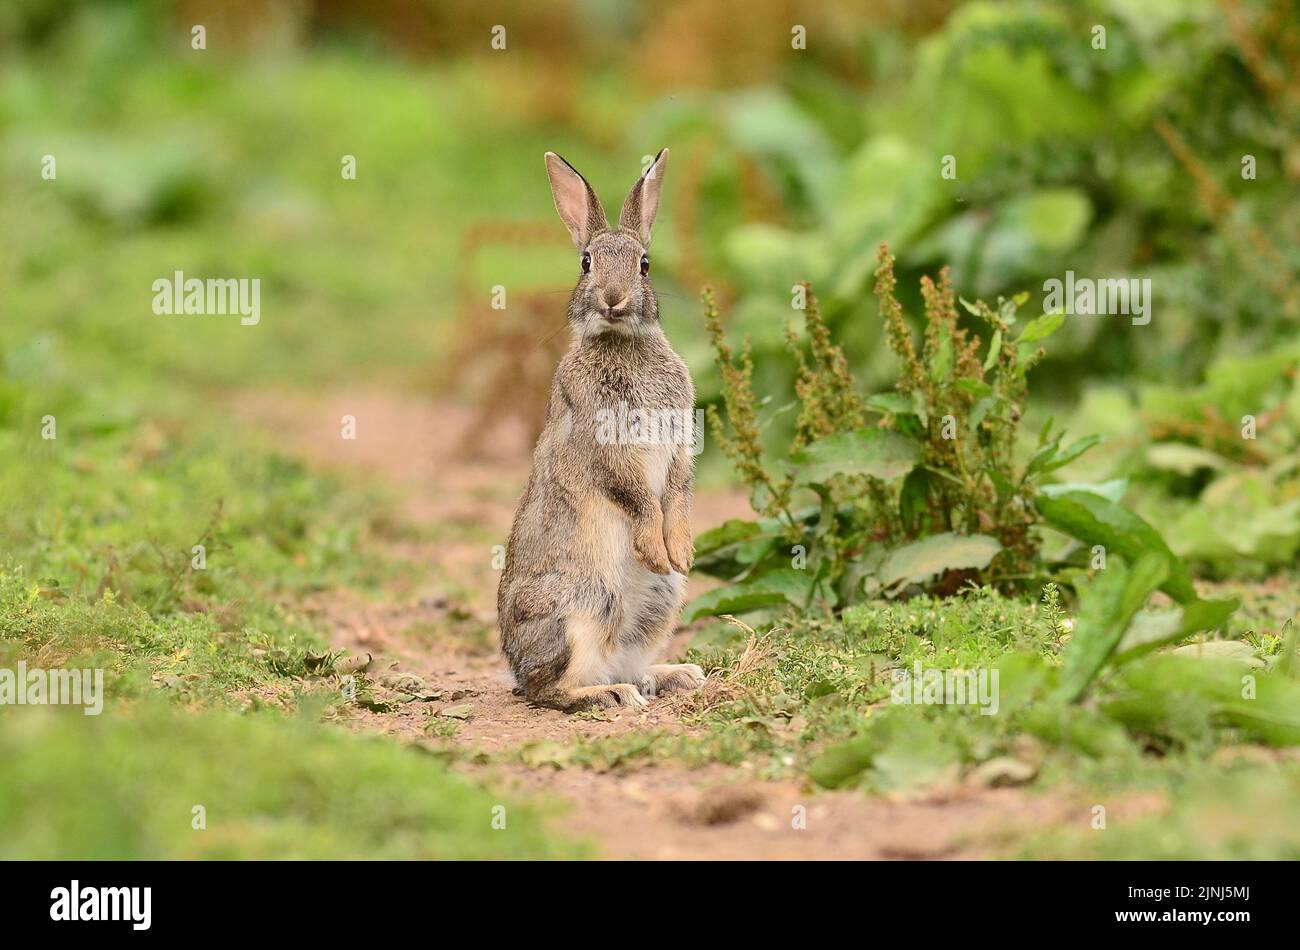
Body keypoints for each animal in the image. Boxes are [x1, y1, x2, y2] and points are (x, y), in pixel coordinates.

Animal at [497, 149, 704, 713]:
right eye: (586, 262)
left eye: (645, 264)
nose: (613, 298)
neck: (621, 342)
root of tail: (515, 666)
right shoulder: (607, 448)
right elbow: (637, 495)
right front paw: (656, 548)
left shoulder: (679, 443)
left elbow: (677, 489)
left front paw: (681, 551)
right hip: (578, 608)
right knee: (553, 689)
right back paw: (611, 694)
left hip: (658, 605)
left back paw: (679, 675)